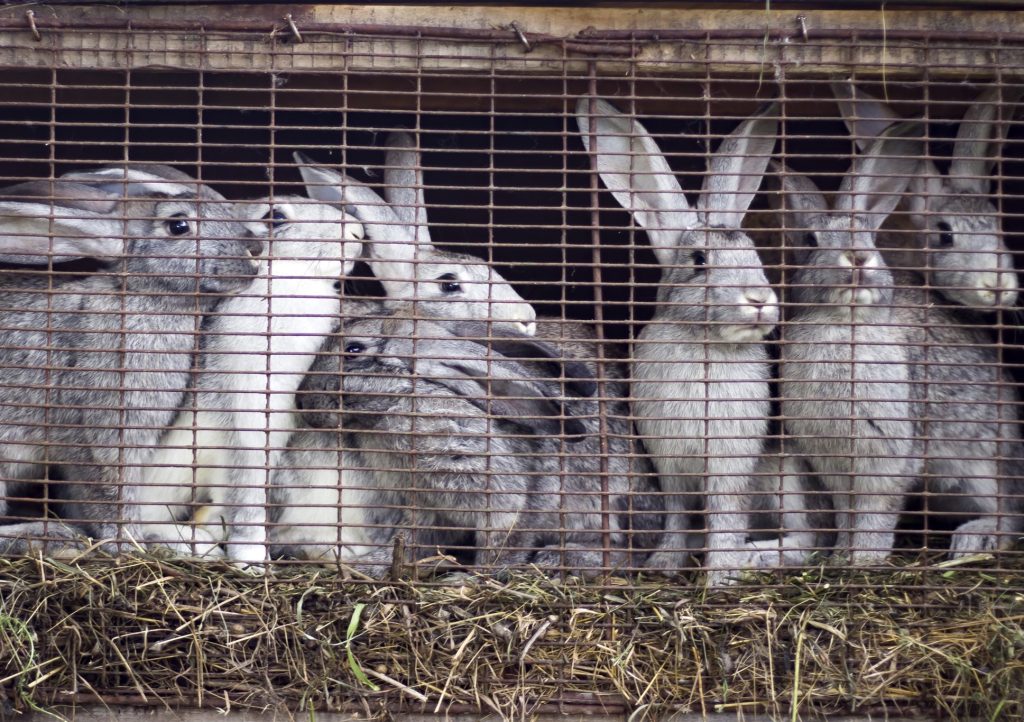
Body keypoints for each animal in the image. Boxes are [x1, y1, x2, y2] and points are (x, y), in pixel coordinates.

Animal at [577, 98, 781, 584]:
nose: (759, 298)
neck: (706, 345)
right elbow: (678, 513)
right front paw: (665, 565)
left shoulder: (729, 466)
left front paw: (721, 576)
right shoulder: (667, 461)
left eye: (755, 255)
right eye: (699, 261)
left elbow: (726, 517)